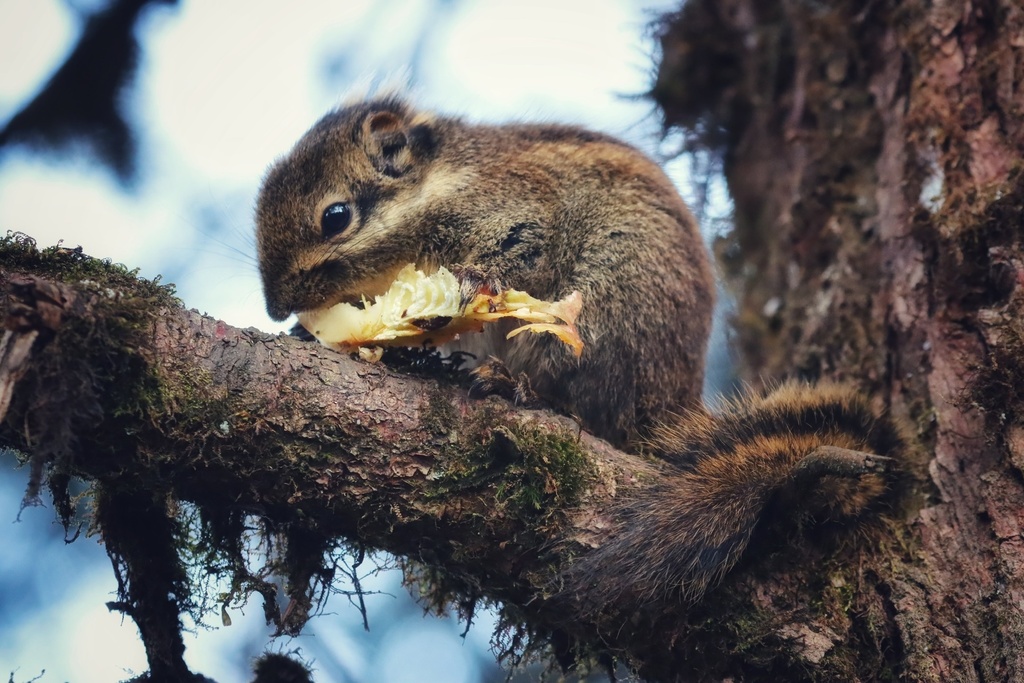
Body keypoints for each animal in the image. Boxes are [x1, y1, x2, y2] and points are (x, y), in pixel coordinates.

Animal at [255, 95, 904, 617]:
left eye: (336, 216)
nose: (274, 308)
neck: (442, 186)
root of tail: (665, 411)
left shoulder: (518, 216)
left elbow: (513, 255)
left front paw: (464, 288)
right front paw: (322, 338)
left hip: (602, 317)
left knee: (582, 405)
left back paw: (516, 388)